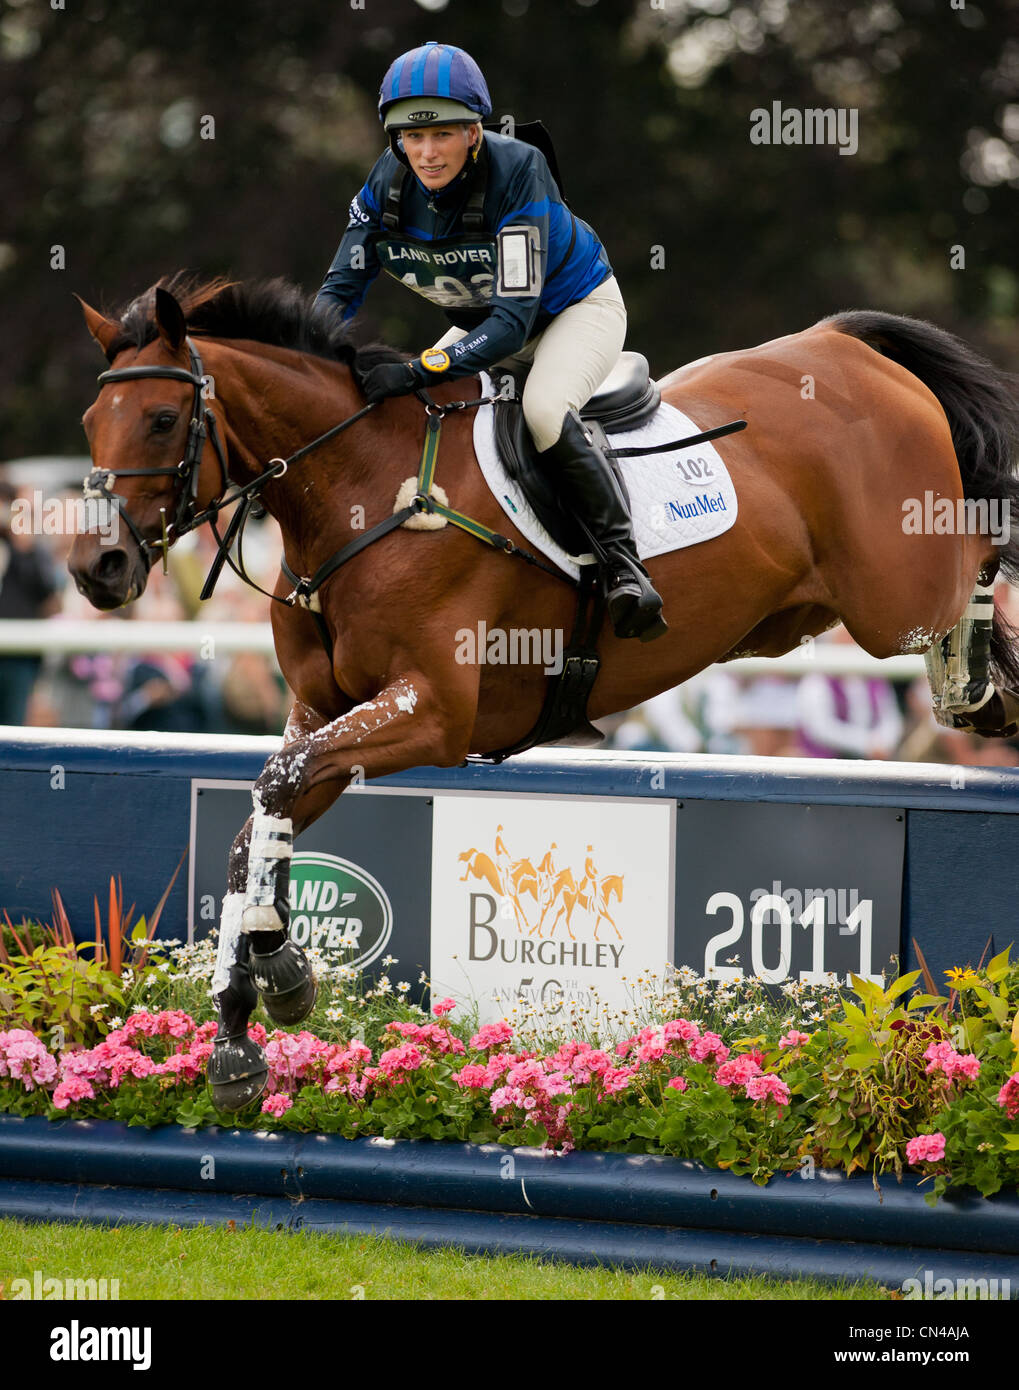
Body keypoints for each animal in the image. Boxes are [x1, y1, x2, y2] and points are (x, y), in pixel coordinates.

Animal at [68, 274, 1019, 1109]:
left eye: (161, 419)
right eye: (89, 423)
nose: (94, 569)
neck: (359, 493)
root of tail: (842, 346)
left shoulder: (431, 715)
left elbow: (274, 790)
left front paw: (271, 982)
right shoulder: (322, 718)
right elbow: (258, 821)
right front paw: (254, 1011)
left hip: (894, 597)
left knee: (980, 547)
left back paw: (975, 688)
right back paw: (986, 693)